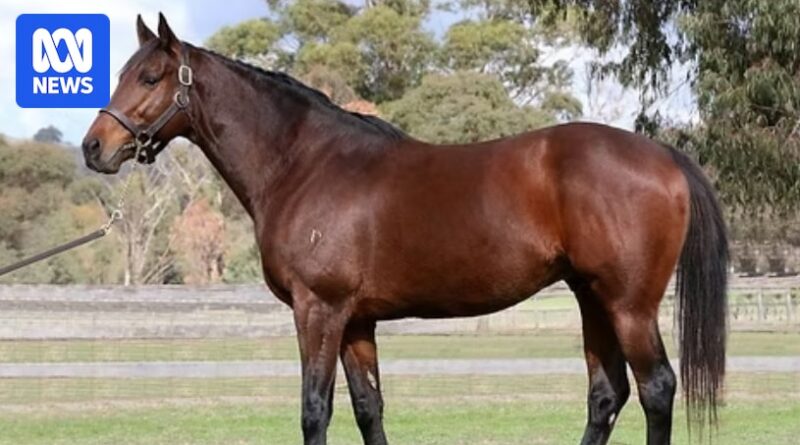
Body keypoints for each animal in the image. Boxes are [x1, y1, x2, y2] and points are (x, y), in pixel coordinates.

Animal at [82, 14, 728, 445]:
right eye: (125, 73)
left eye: (151, 77)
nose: (95, 147)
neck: (306, 164)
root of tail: (663, 154)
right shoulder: (355, 320)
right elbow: (369, 406)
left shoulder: (317, 310)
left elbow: (314, 409)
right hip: (592, 299)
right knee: (606, 394)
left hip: (629, 304)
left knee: (656, 389)